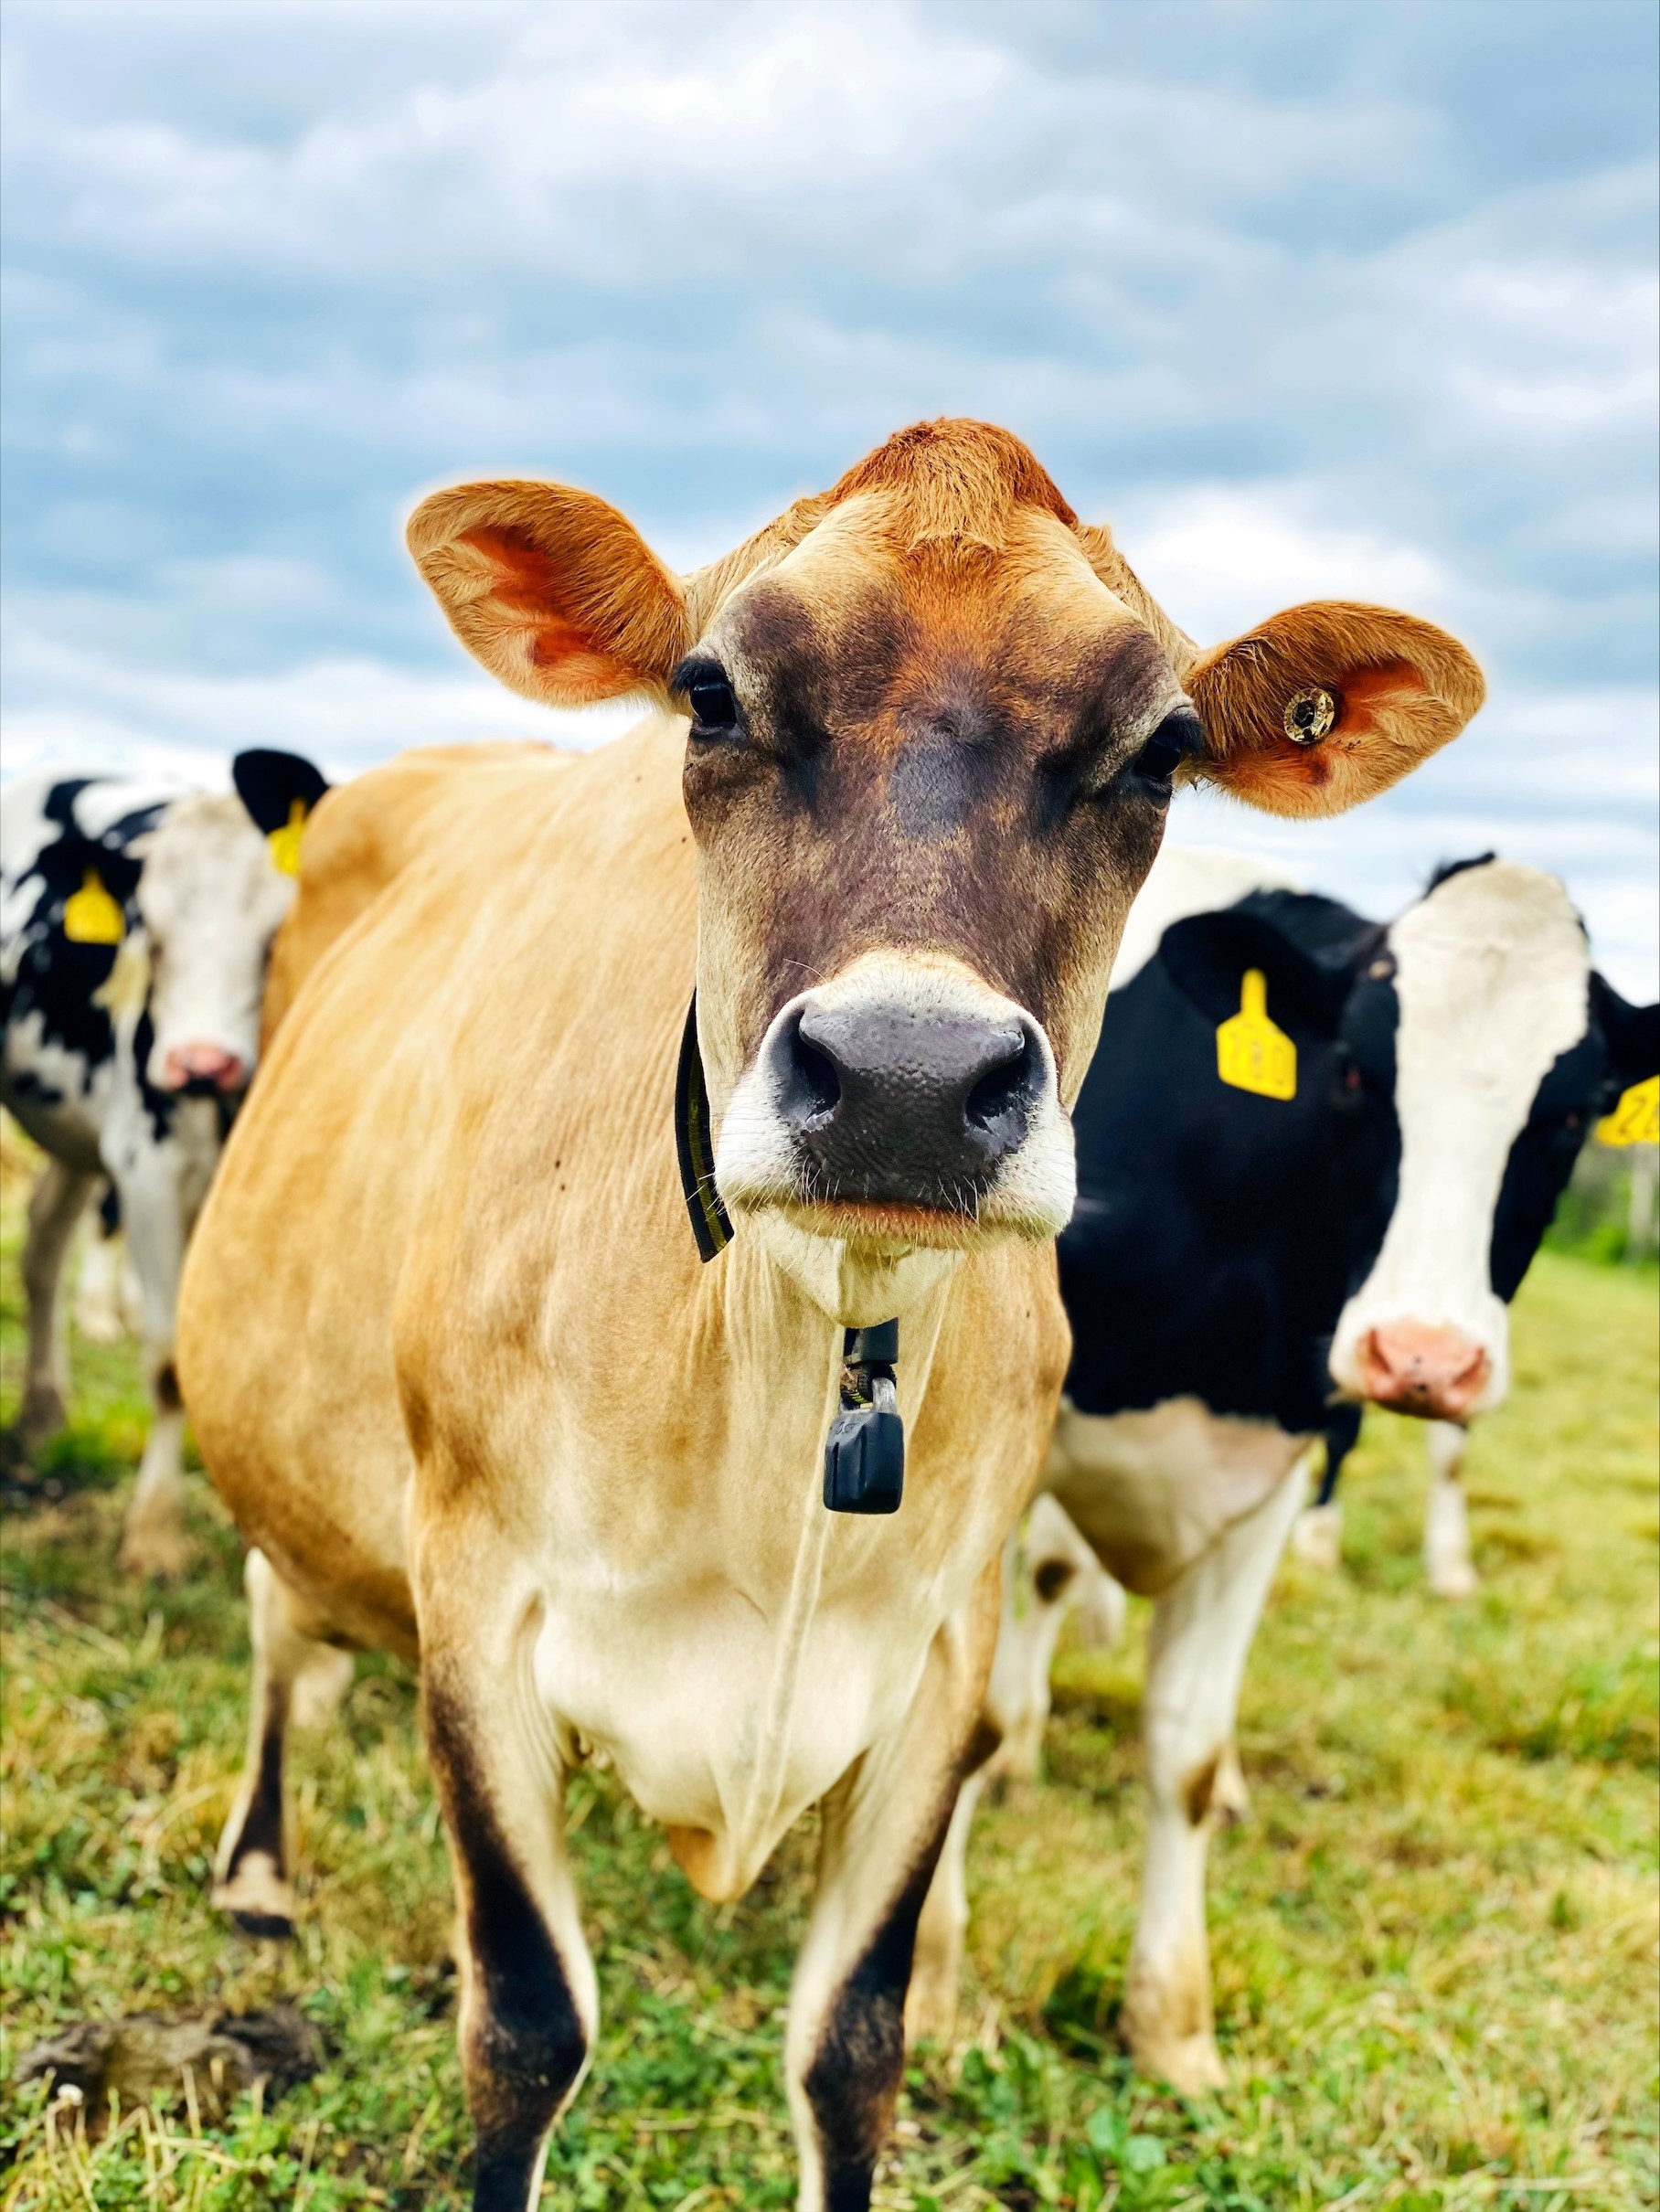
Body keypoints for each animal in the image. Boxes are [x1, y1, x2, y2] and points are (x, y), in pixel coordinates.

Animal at [1, 750, 328, 1573]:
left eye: (276, 929)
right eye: (150, 930)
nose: (199, 1064)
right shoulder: (147, 1170)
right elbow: (170, 1364)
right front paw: (154, 1532)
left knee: (43, 1243)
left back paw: (42, 1410)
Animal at [175, 419, 1482, 2211]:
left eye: (1156, 753)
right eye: (713, 694)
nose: (908, 1084)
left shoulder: (941, 1661)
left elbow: (854, 2048)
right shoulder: (476, 1605)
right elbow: (526, 2026)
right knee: (274, 1623)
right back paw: (255, 1866)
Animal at [912, 842, 1660, 2094]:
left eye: (1568, 1112)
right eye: (1354, 1071)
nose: (1424, 1356)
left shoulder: (1270, 1464)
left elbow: (1187, 1749)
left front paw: (1173, 2028)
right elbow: (957, 1712)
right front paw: (924, 1983)